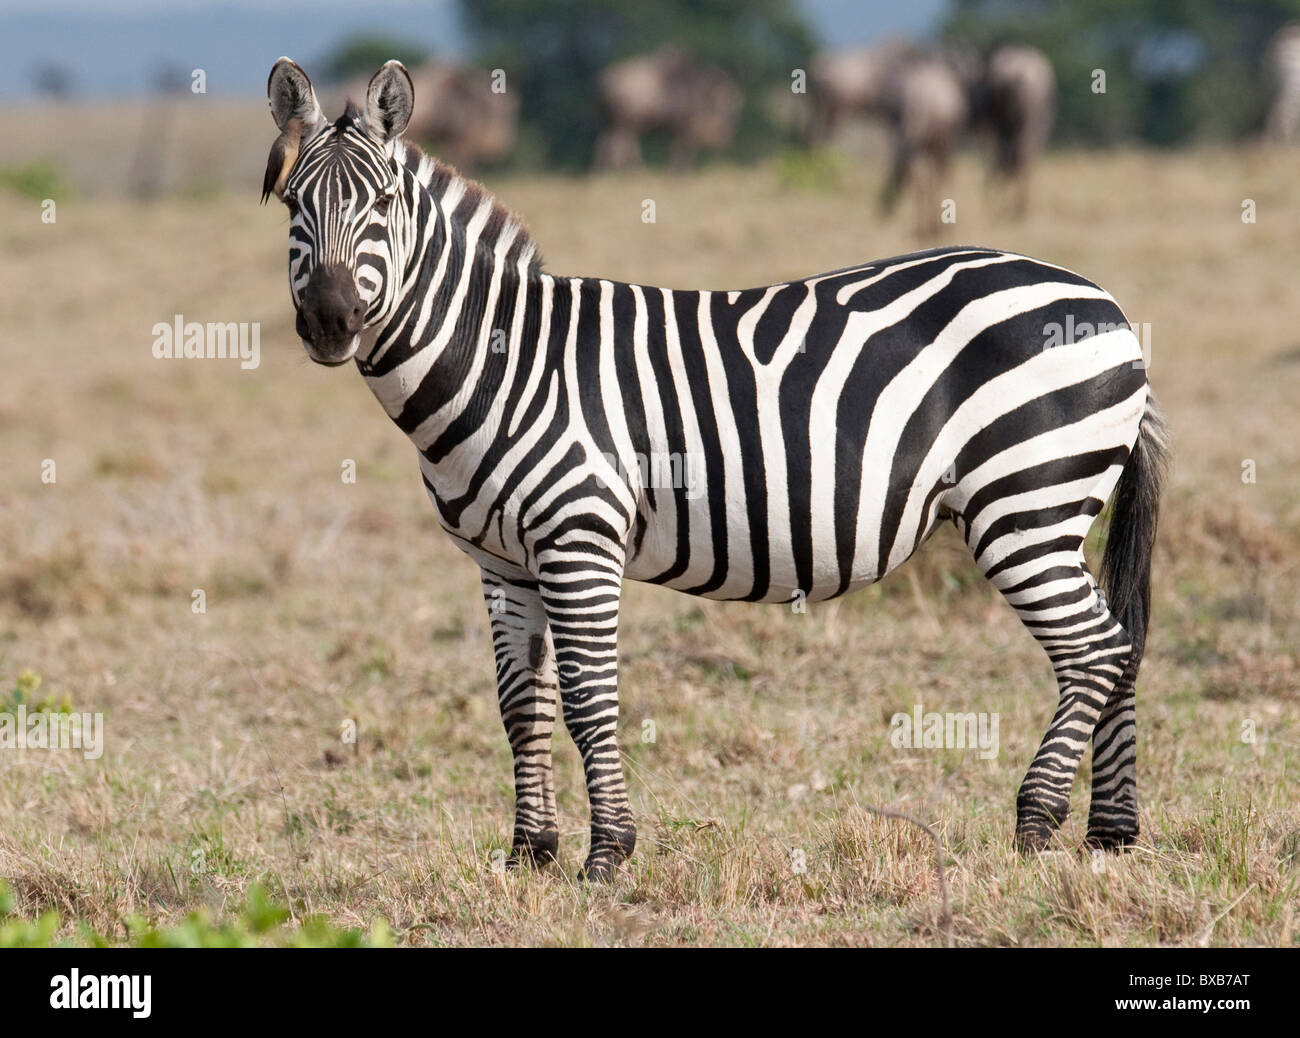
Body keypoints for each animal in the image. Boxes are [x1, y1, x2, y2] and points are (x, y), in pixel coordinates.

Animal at [264, 58, 1169, 881]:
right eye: (295, 206)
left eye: (383, 204)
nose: (331, 321)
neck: (504, 362)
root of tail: (1107, 306)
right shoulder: (502, 563)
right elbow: (523, 706)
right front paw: (529, 854)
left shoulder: (579, 539)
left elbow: (589, 701)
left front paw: (607, 855)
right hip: (1049, 508)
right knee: (1121, 646)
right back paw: (1110, 832)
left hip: (1026, 500)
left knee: (1094, 649)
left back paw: (1037, 821)